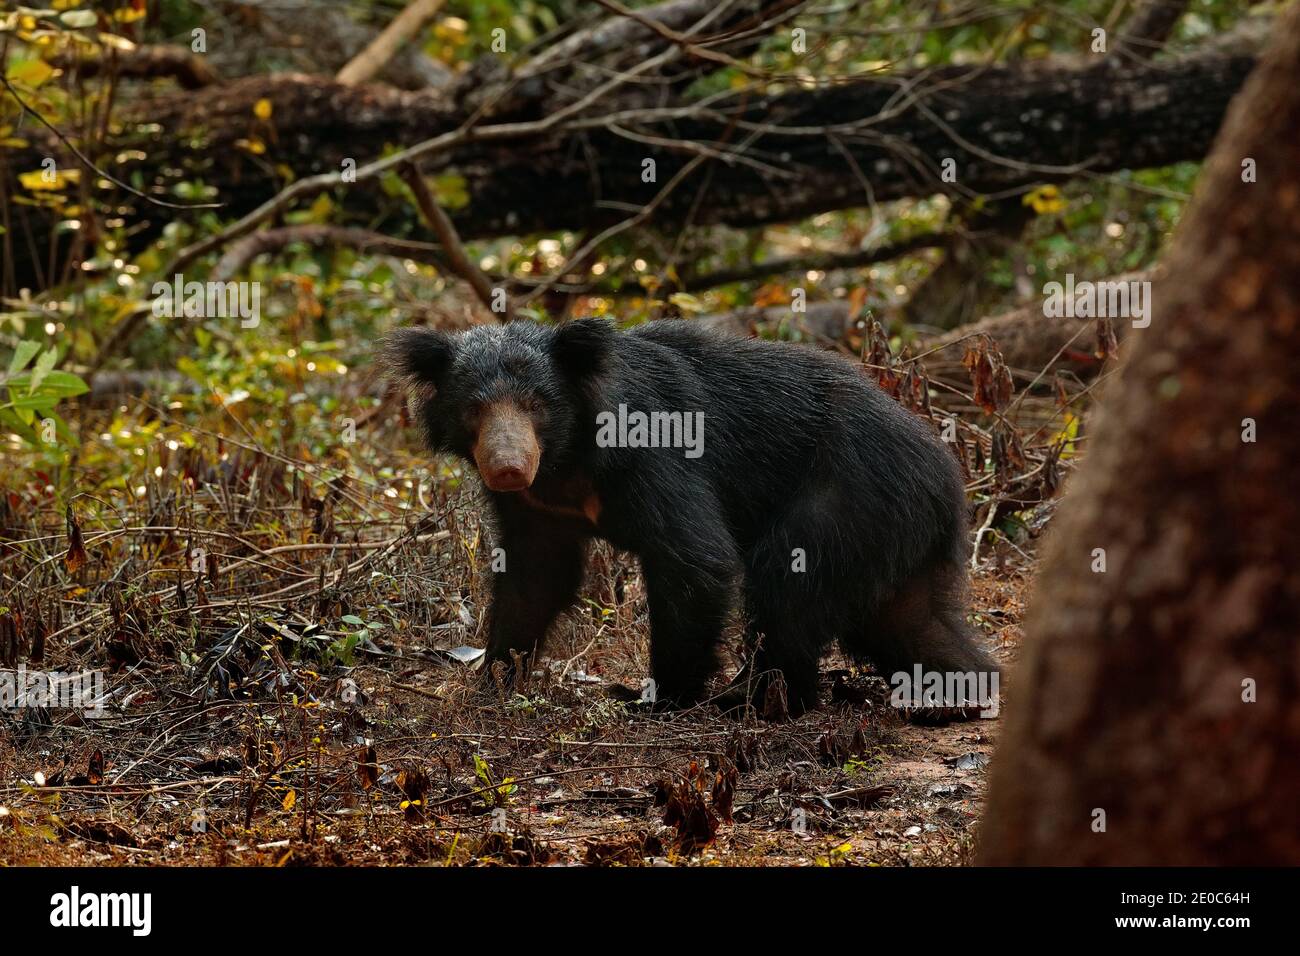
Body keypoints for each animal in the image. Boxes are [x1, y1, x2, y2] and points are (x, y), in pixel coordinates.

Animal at [383, 318, 996, 716]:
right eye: (475, 410)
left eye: (535, 405)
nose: (508, 468)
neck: (565, 461)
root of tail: (947, 475)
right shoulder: (537, 505)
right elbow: (536, 578)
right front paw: (491, 680)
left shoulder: (652, 452)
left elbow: (693, 557)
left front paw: (658, 699)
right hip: (887, 529)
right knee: (908, 620)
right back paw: (959, 692)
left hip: (843, 496)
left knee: (787, 585)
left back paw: (758, 701)